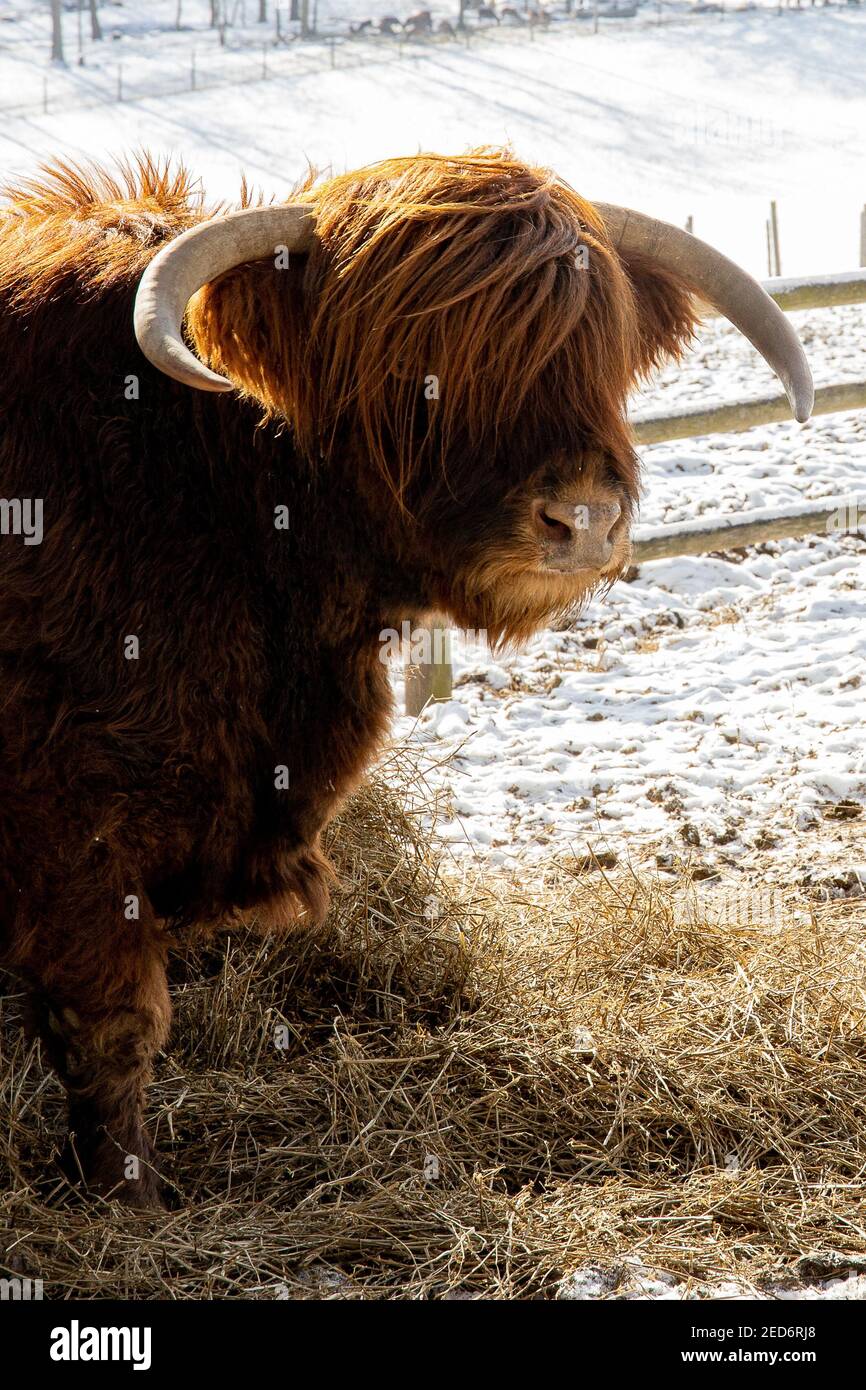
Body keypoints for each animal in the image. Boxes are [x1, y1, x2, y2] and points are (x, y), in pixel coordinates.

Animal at [0, 149, 812, 1207]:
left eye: (597, 353)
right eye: (412, 370)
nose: (582, 518)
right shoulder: (77, 830)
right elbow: (115, 1028)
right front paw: (129, 1200)